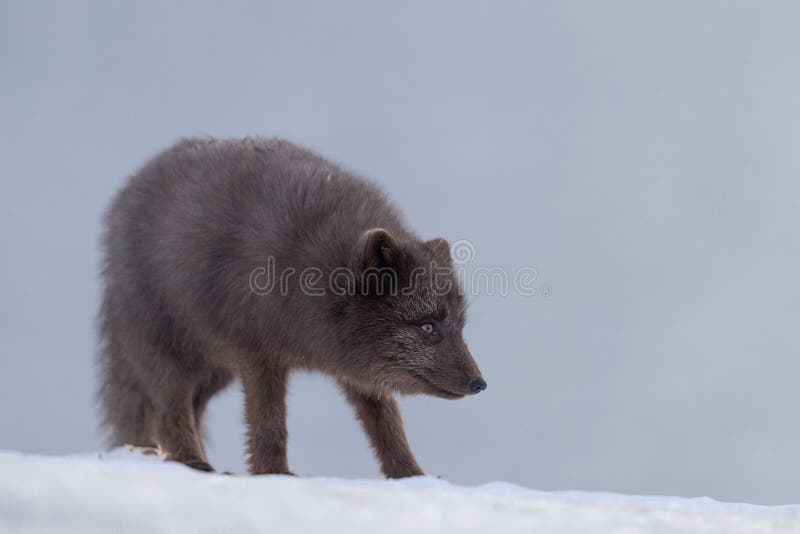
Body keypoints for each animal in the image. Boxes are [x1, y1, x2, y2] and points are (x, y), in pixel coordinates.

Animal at [98, 137, 486, 477]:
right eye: (428, 327)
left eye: (460, 327)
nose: (479, 384)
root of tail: (125, 193)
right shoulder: (257, 353)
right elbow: (270, 423)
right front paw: (273, 474)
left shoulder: (357, 366)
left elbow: (387, 425)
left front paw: (411, 477)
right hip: (168, 350)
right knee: (169, 412)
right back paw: (194, 464)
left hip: (215, 370)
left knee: (188, 408)